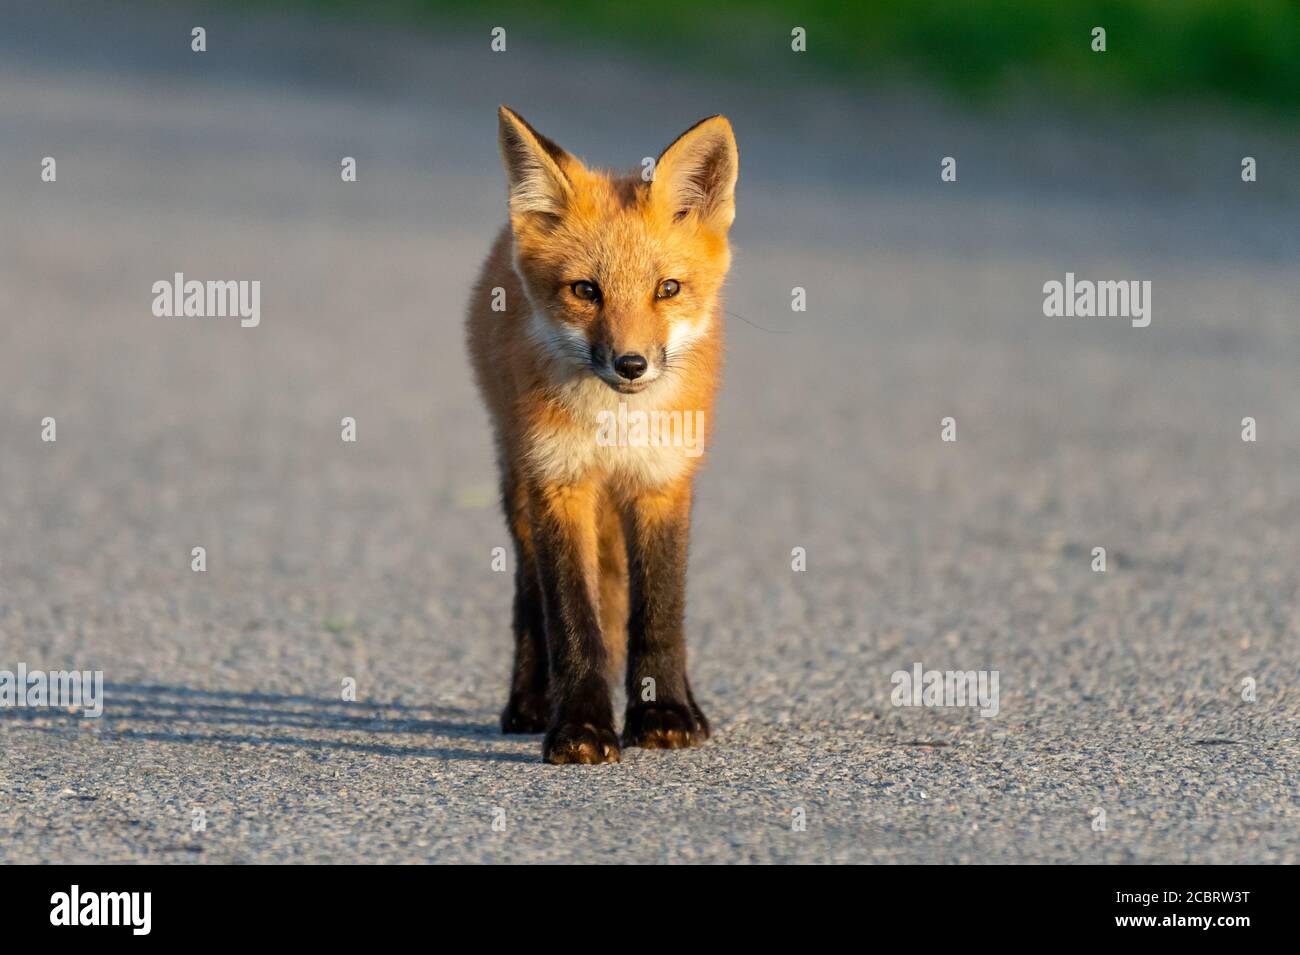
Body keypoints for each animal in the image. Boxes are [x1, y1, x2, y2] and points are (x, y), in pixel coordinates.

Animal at [466, 106, 738, 764]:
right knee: (529, 598)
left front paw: (665, 714)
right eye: (585, 291)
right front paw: (581, 727)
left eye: (667, 288)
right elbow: (571, 620)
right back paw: (530, 703)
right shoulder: (559, 482)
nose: (631, 365)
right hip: (517, 481)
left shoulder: (663, 483)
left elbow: (659, 613)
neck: (614, 426)